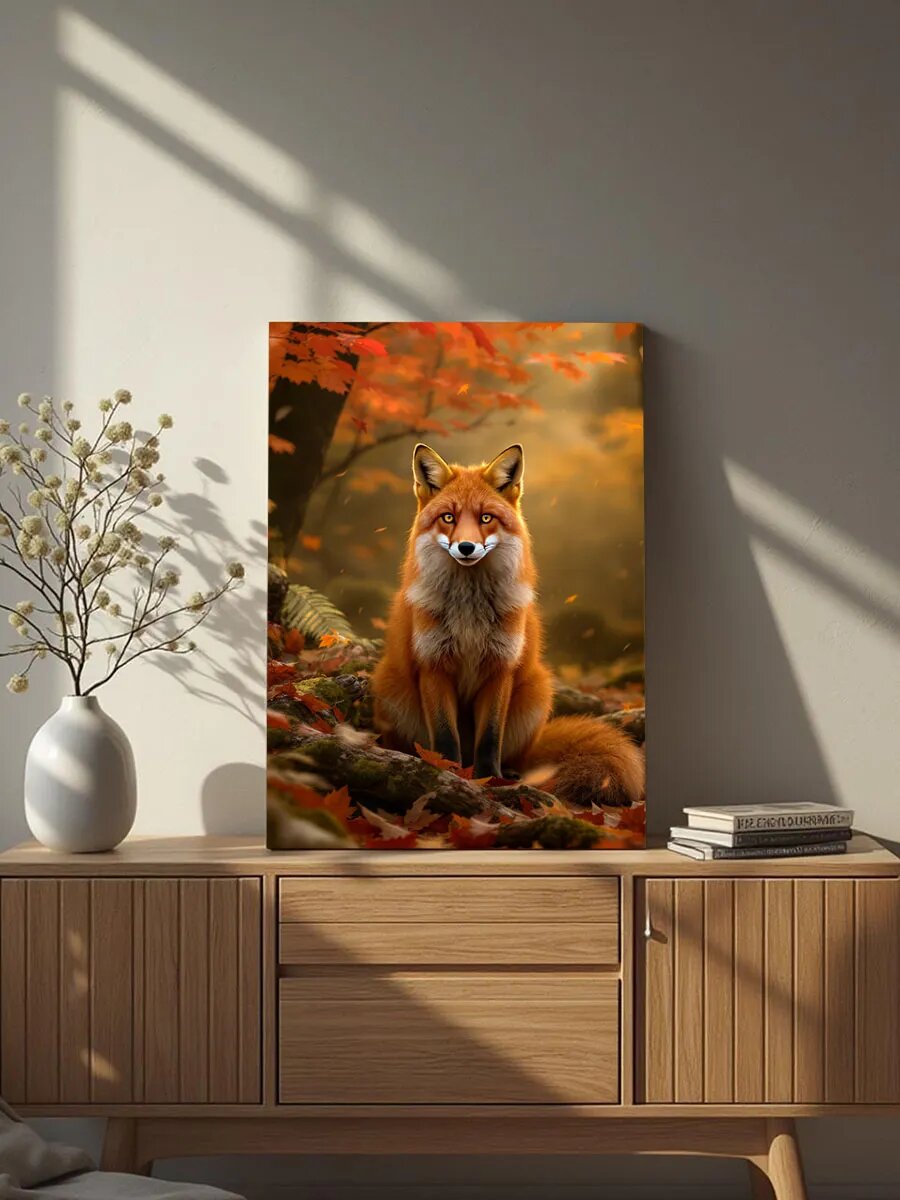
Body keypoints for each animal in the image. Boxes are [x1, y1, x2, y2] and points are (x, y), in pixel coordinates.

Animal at [371, 442, 645, 808]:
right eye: (449, 517)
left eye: (486, 518)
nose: (466, 547)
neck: (469, 613)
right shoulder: (433, 666)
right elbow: (445, 737)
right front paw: (448, 772)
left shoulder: (501, 666)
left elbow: (490, 738)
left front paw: (490, 779)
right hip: (390, 685)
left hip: (538, 690)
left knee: (521, 757)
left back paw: (512, 773)